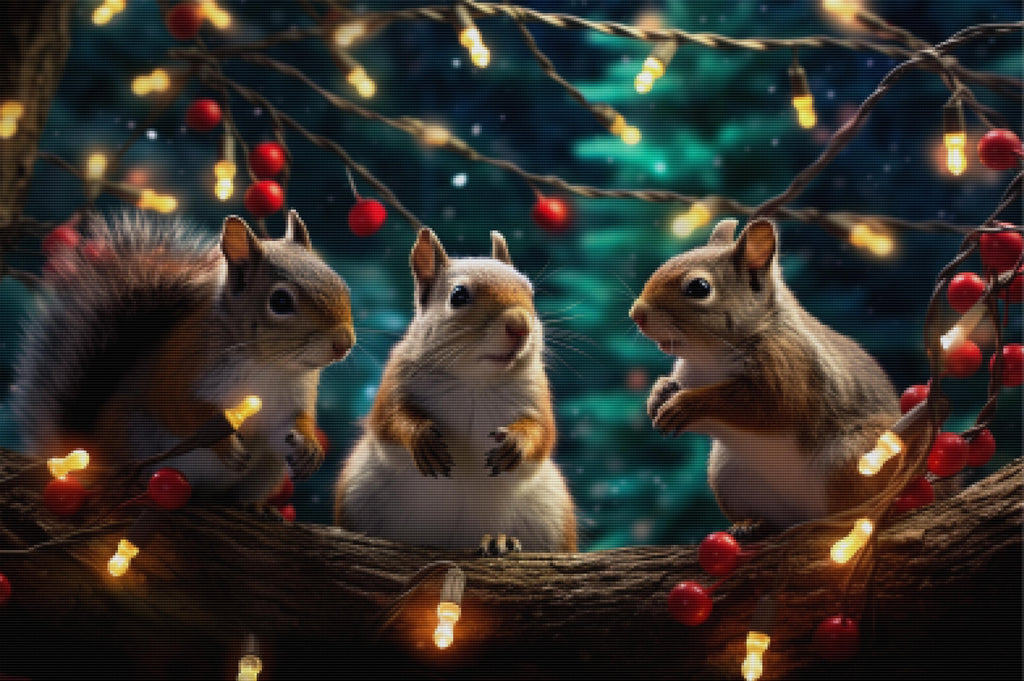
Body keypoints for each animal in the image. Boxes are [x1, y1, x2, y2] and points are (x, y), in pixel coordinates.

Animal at [12, 209, 354, 504]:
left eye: (341, 283)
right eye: (281, 301)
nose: (344, 343)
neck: (269, 365)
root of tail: (88, 453)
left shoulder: (290, 398)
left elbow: (292, 422)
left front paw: (310, 446)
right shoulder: (182, 369)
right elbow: (182, 408)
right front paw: (225, 445)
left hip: (267, 467)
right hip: (135, 437)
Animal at [335, 228, 576, 553]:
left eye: (531, 291)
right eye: (459, 296)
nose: (520, 326)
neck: (474, 381)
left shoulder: (537, 393)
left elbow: (542, 432)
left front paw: (516, 442)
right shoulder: (394, 383)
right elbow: (390, 421)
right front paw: (422, 438)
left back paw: (500, 540)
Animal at [629, 217, 902, 531]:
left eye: (699, 287)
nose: (636, 314)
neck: (711, 354)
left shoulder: (789, 364)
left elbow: (766, 404)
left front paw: (684, 404)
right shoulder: (689, 372)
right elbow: (672, 384)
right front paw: (658, 393)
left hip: (855, 456)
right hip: (730, 477)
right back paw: (752, 525)